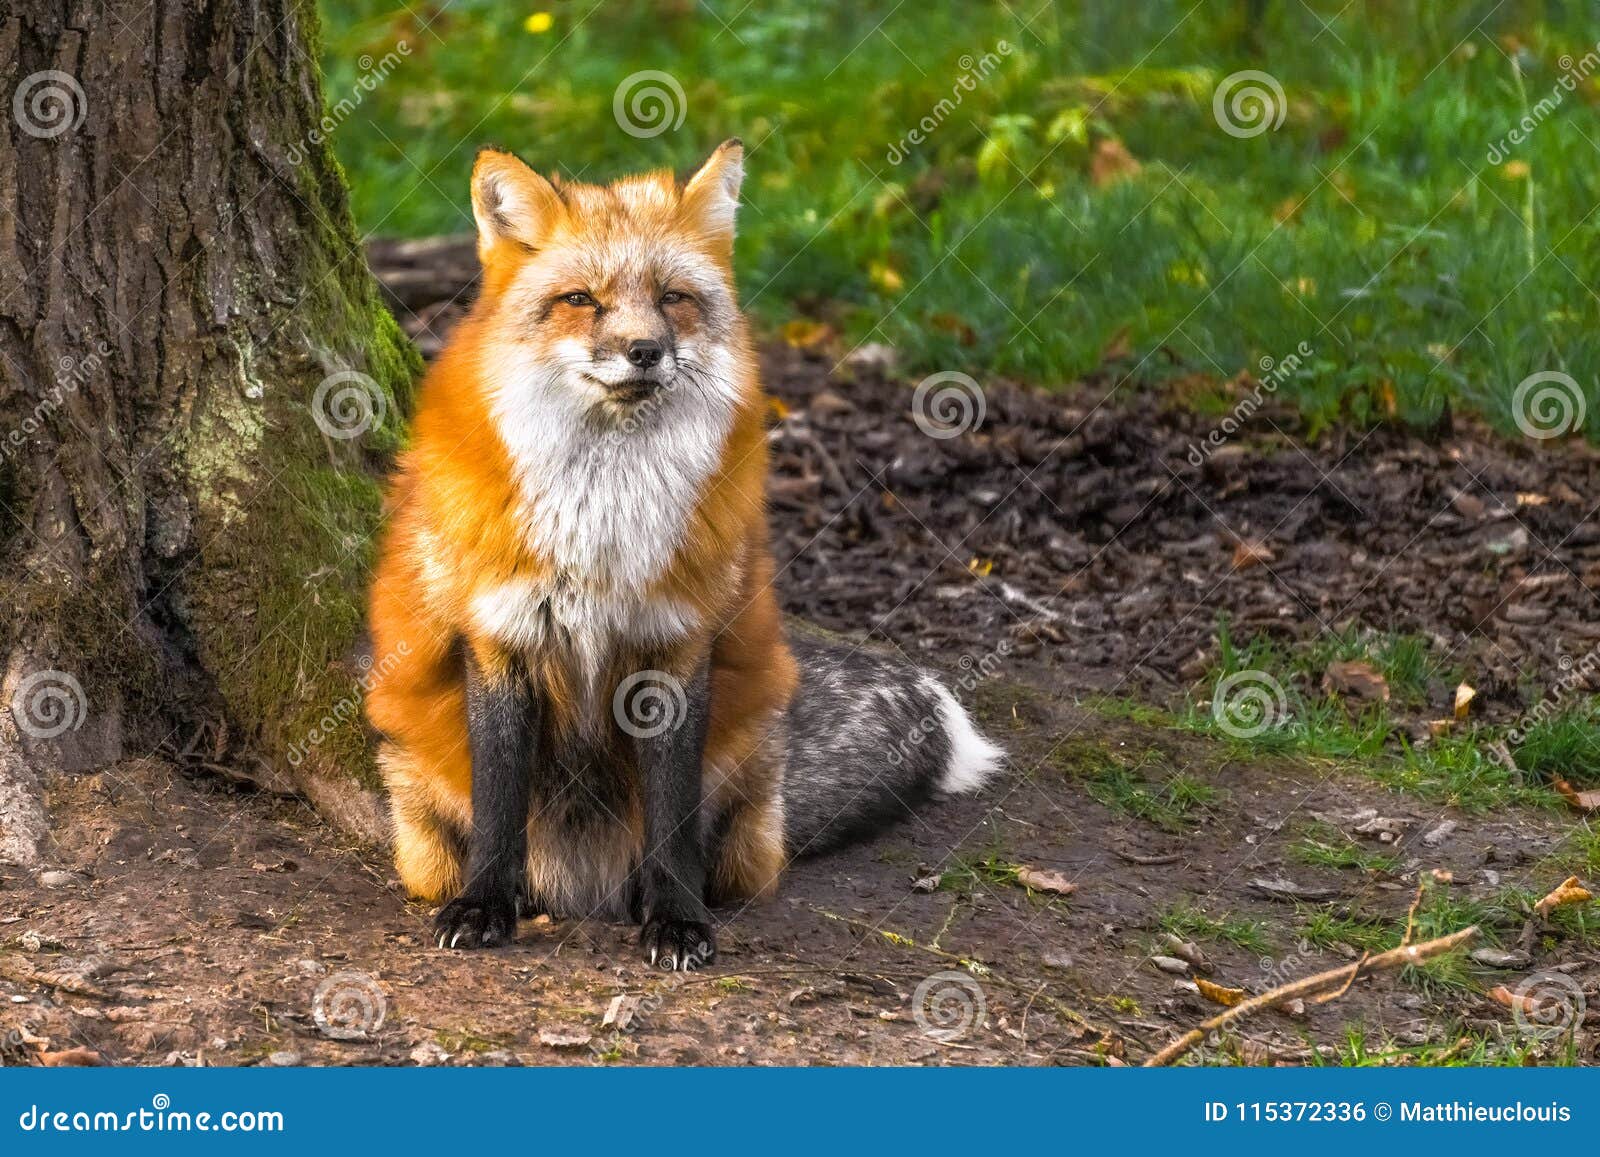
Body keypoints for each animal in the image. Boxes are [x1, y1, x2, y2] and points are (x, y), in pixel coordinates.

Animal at [365, 139, 1003, 969]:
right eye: (581, 299)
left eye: (672, 298)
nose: (644, 351)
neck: (603, 526)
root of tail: (582, 887)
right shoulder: (502, 638)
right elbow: (500, 805)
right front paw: (484, 907)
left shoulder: (674, 641)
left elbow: (671, 811)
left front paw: (675, 919)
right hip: (416, 807)